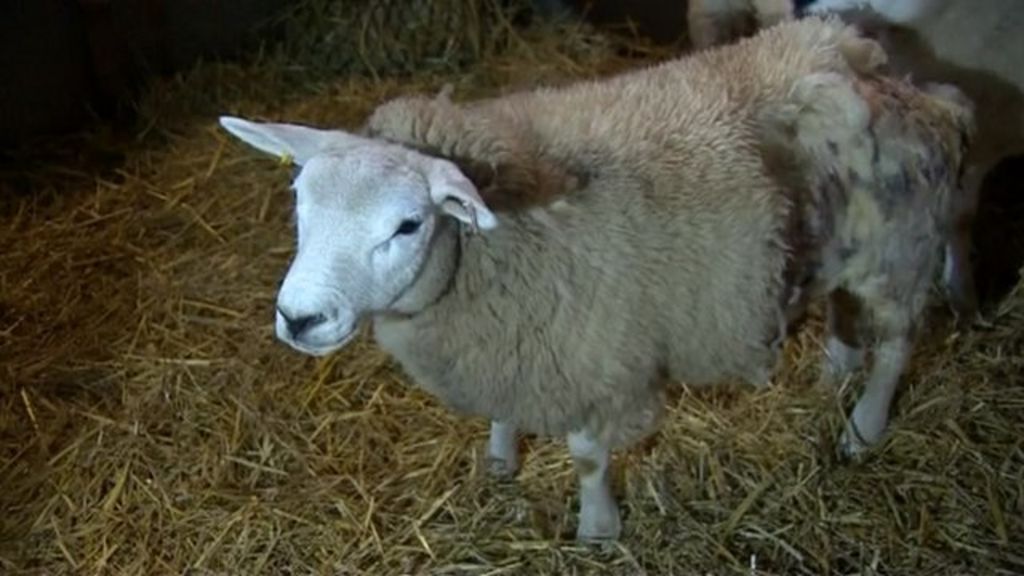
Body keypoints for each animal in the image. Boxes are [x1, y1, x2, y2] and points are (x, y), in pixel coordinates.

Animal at [218, 16, 975, 541]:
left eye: (407, 225)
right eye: (299, 200)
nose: (300, 318)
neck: (489, 255)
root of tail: (908, 85)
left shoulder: (599, 355)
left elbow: (587, 456)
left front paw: (598, 529)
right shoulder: (518, 340)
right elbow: (504, 409)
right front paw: (501, 461)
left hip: (901, 253)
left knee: (897, 344)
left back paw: (862, 429)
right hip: (846, 245)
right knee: (844, 308)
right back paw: (832, 374)